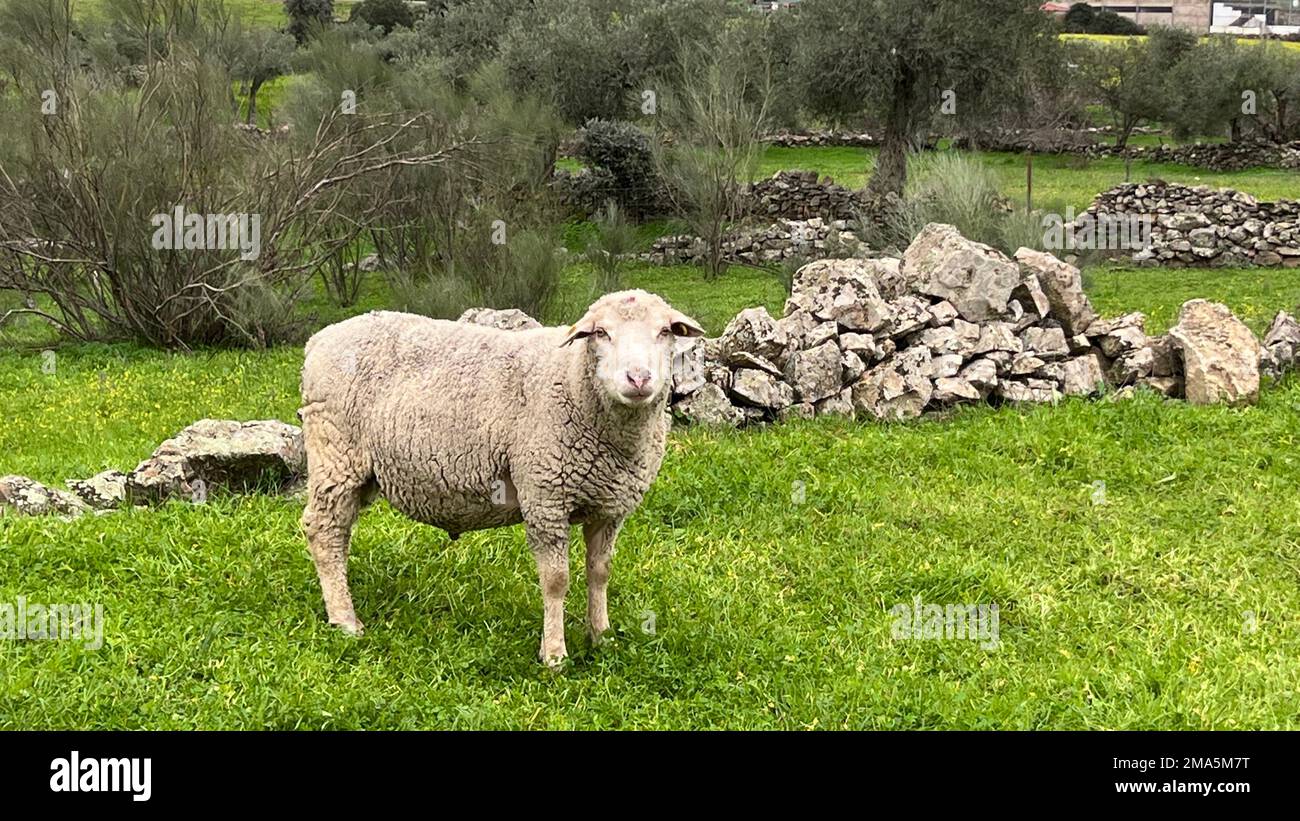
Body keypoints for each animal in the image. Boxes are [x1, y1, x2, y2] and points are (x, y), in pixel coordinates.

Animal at [298, 289, 704, 666]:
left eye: (665, 331)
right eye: (600, 333)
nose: (638, 378)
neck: (574, 381)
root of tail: (318, 340)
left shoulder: (610, 508)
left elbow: (600, 572)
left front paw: (601, 636)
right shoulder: (545, 498)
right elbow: (556, 581)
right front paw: (554, 654)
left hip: (360, 470)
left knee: (339, 533)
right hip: (336, 451)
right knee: (323, 529)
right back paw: (345, 620)